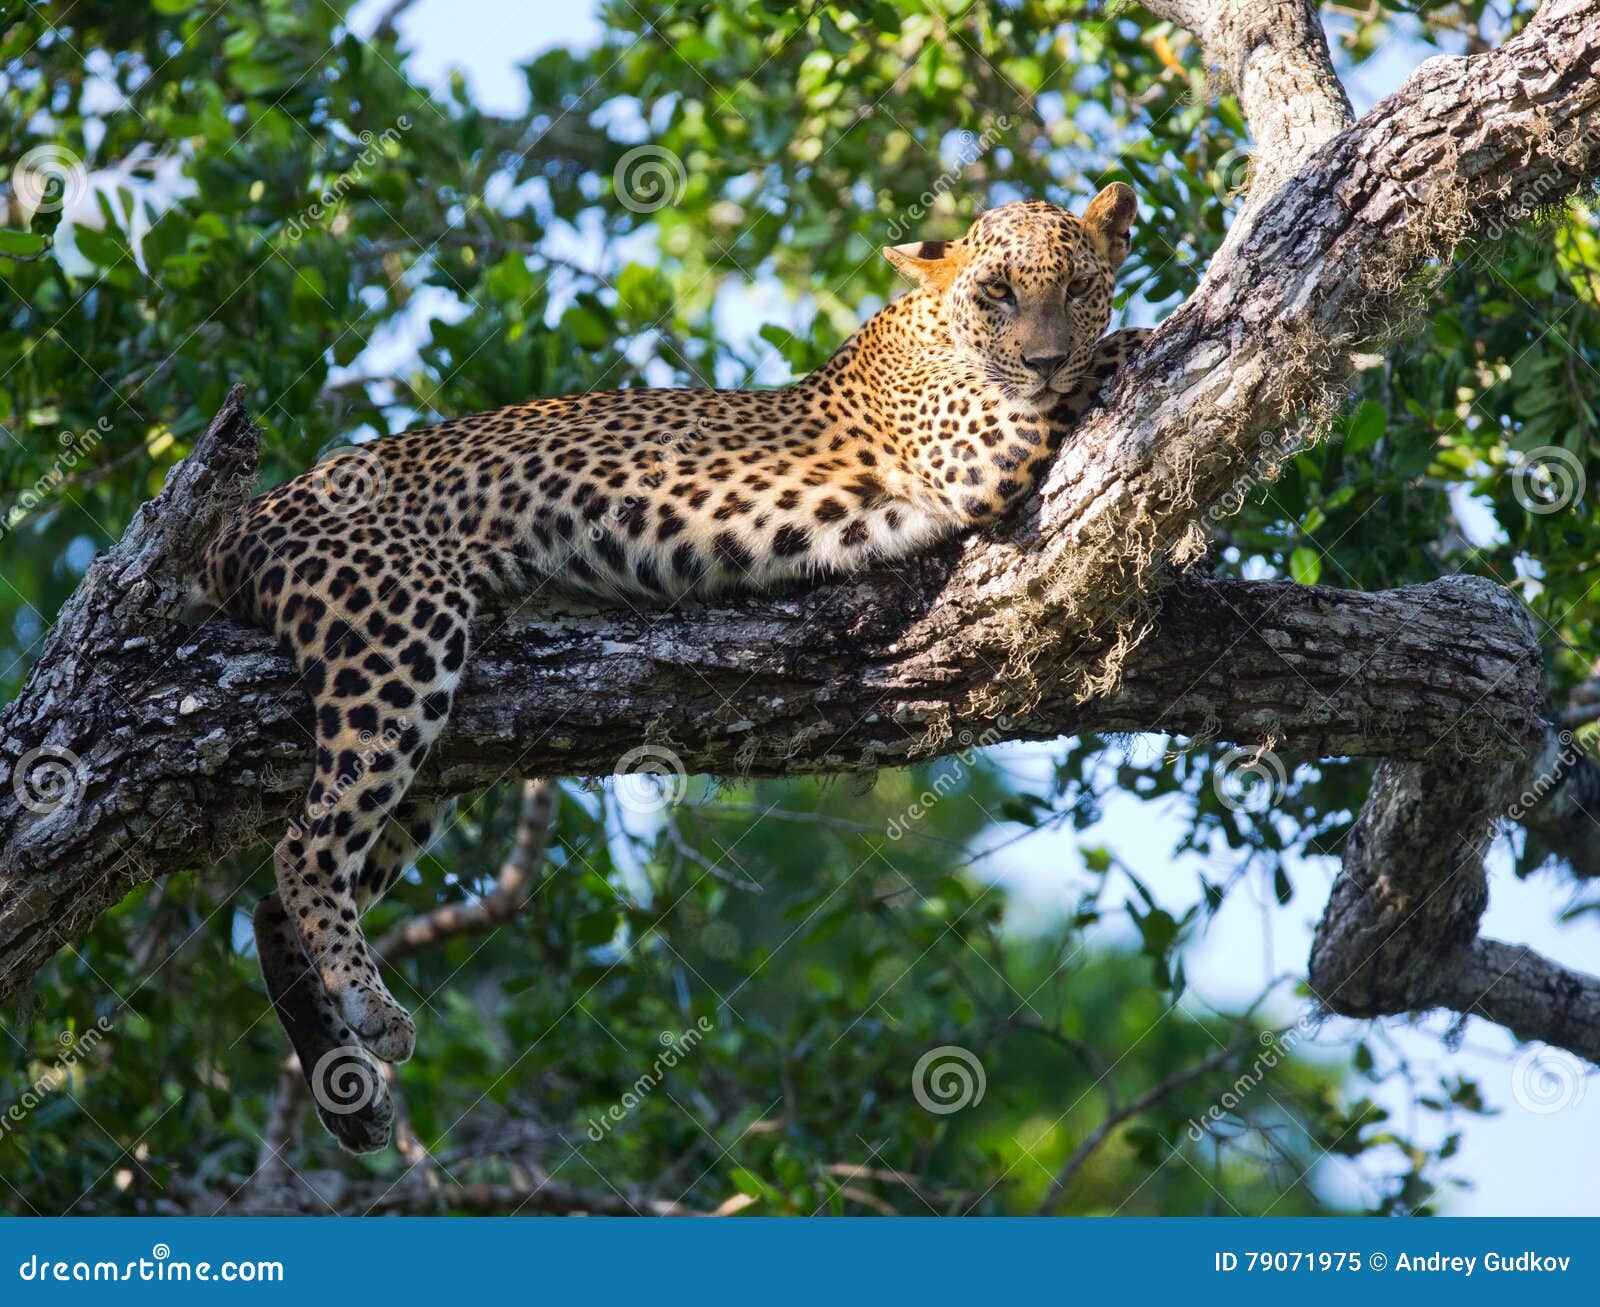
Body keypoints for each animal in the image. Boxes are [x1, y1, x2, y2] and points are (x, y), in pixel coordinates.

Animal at [197, 184, 1151, 1152]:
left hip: (431, 758)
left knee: (276, 898)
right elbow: (1110, 359)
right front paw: (1135, 342)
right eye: (997, 293)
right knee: (304, 845)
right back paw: (371, 1011)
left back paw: (347, 1093)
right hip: (395, 637)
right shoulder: (979, 447)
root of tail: (236, 525)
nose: (1042, 359)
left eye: (1077, 287)